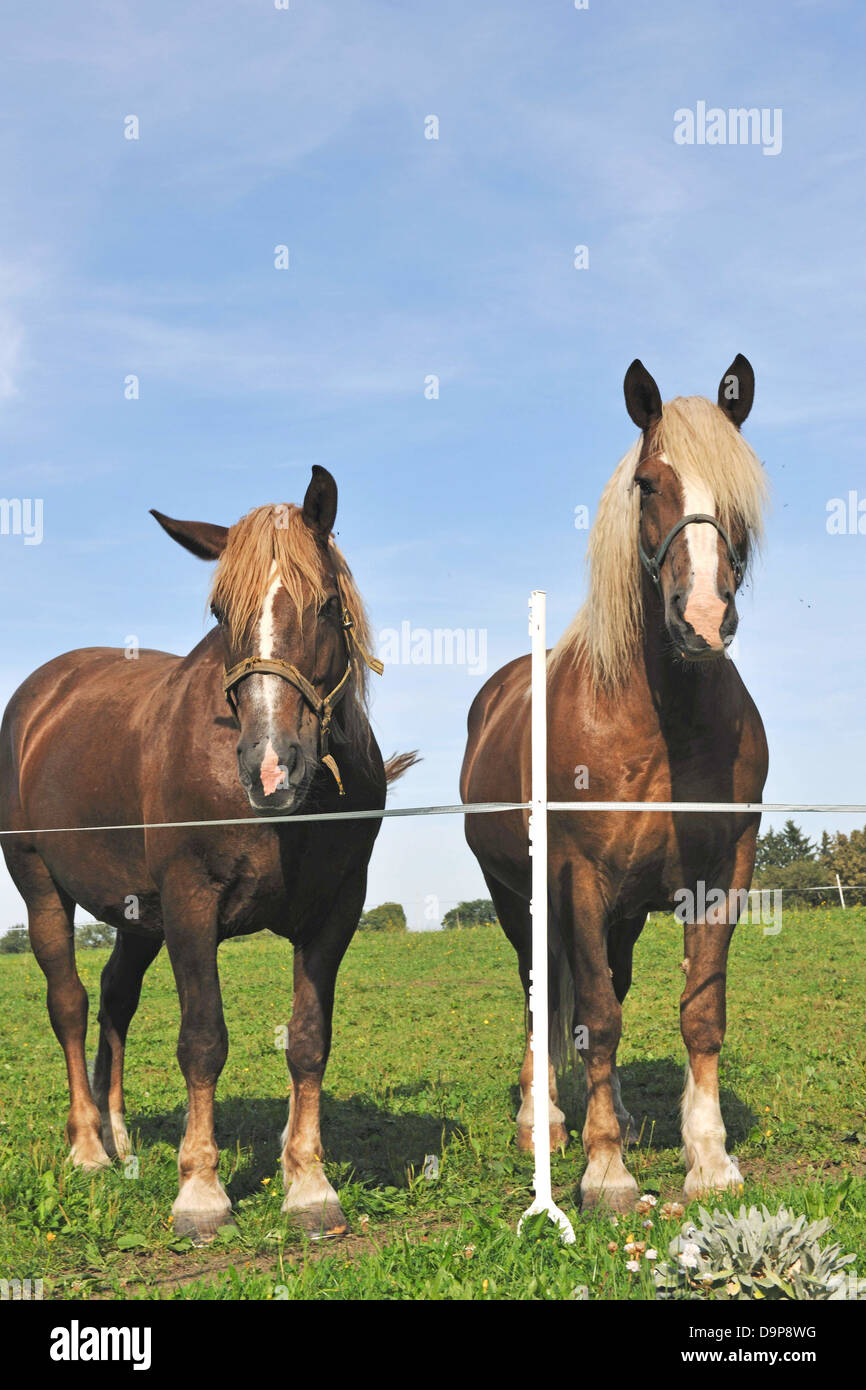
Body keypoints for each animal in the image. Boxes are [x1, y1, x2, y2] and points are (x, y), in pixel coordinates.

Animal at [0, 465, 416, 1241]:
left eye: (324, 605)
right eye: (222, 611)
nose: (270, 767)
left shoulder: (336, 910)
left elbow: (308, 1039)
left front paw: (307, 1182)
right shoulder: (192, 901)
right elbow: (202, 1039)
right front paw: (200, 1191)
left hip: (138, 915)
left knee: (115, 999)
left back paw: (119, 1136)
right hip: (42, 888)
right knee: (69, 1002)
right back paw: (87, 1148)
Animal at [460, 357, 768, 1212]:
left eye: (741, 491)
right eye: (648, 484)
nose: (703, 619)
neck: (660, 719)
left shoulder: (719, 875)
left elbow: (699, 1013)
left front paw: (709, 1159)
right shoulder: (577, 879)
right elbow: (593, 1013)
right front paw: (606, 1172)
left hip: (625, 911)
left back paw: (621, 1116)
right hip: (521, 899)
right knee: (543, 996)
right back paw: (545, 1121)